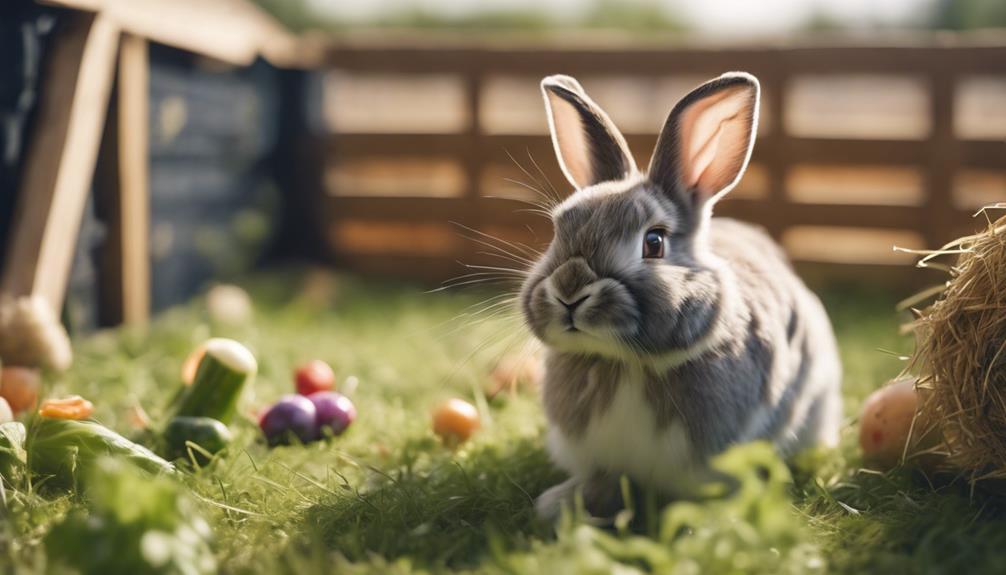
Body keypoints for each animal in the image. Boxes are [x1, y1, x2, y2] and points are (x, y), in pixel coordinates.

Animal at [521, 72, 843, 521]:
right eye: (558, 231)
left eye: (654, 242)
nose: (569, 289)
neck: (628, 363)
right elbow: (602, 482)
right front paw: (559, 504)